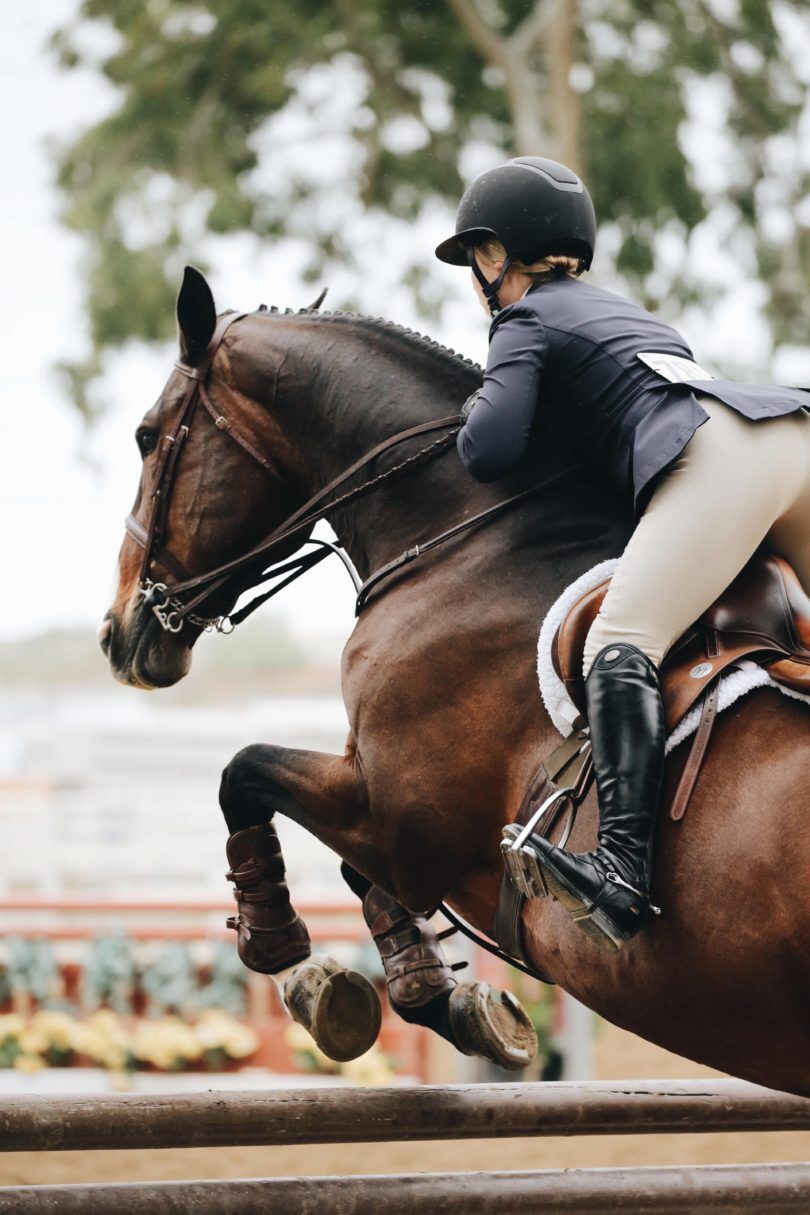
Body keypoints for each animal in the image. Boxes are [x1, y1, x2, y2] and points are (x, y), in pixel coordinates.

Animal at [101, 267, 810, 1096]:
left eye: (147, 436)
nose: (117, 632)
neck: (466, 537)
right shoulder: (390, 813)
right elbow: (347, 864)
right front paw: (435, 996)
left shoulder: (398, 816)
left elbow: (244, 773)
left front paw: (284, 953)